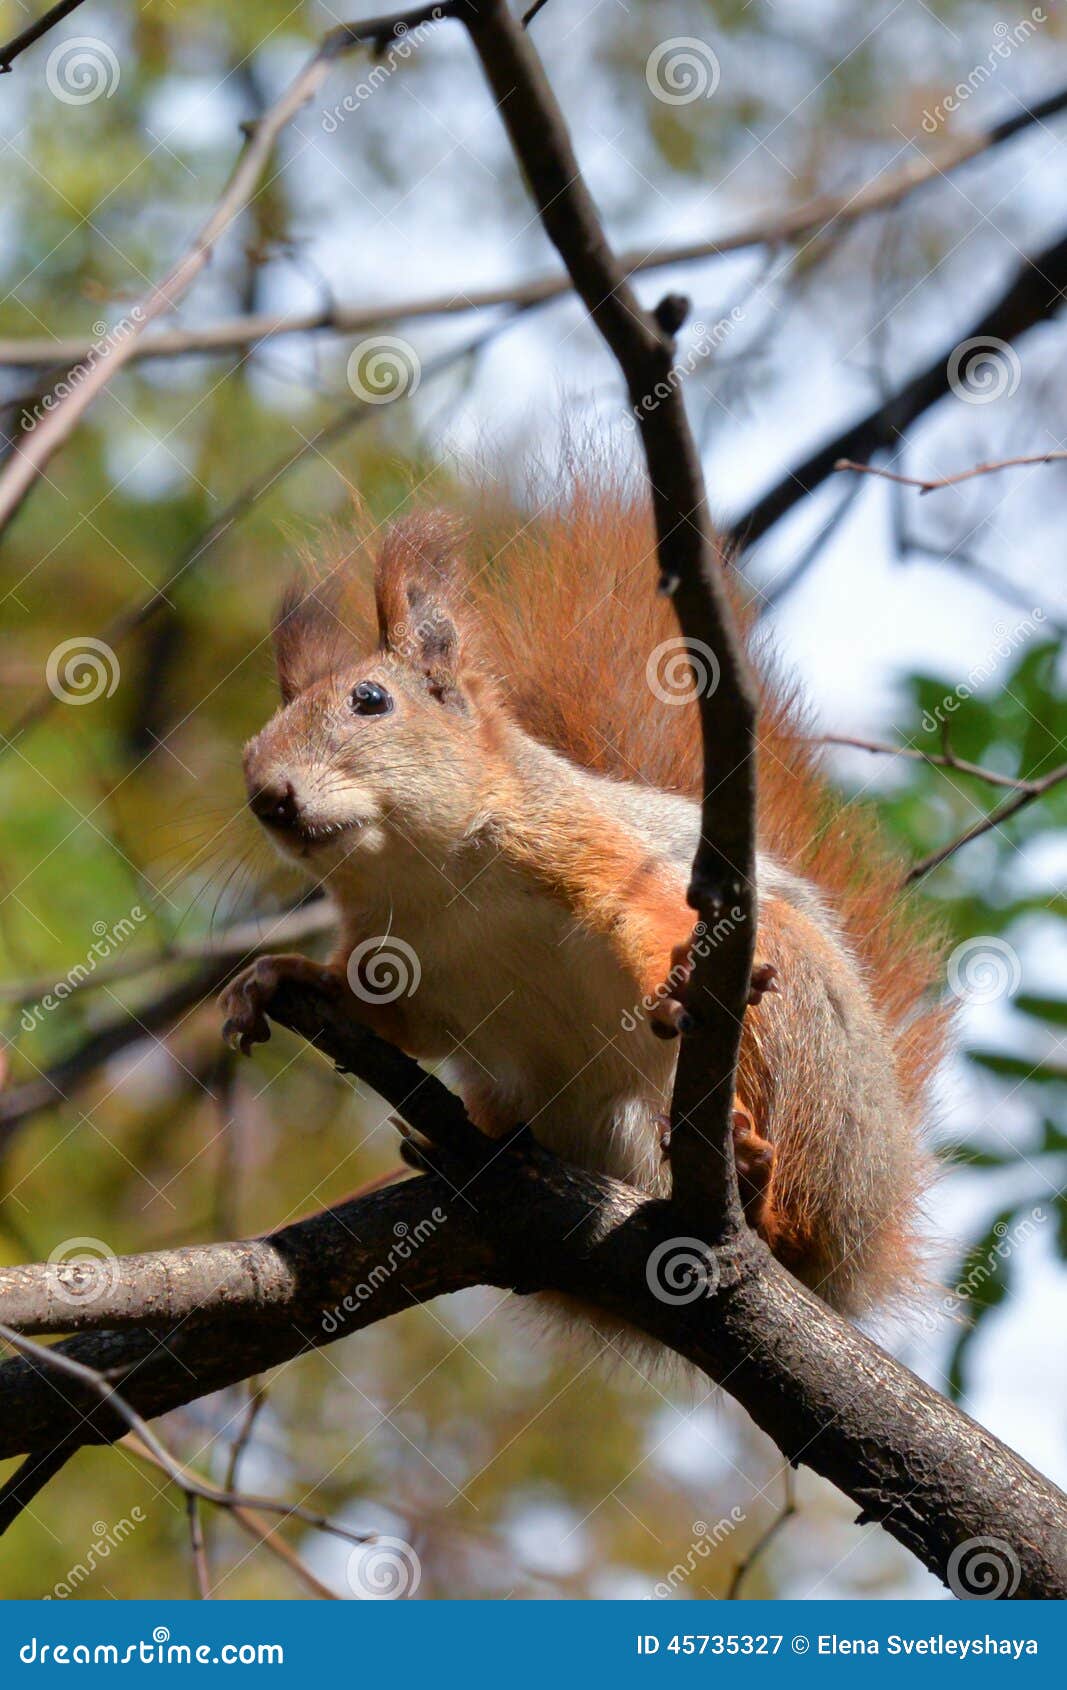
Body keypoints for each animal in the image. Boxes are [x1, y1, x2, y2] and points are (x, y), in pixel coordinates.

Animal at [220, 491, 949, 1318]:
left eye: (368, 700)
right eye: (246, 756)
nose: (269, 799)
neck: (434, 880)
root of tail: (860, 1247)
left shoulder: (590, 854)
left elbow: (646, 914)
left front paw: (674, 978)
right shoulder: (403, 969)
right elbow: (391, 1019)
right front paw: (278, 976)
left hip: (799, 1034)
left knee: (791, 1220)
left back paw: (755, 1184)